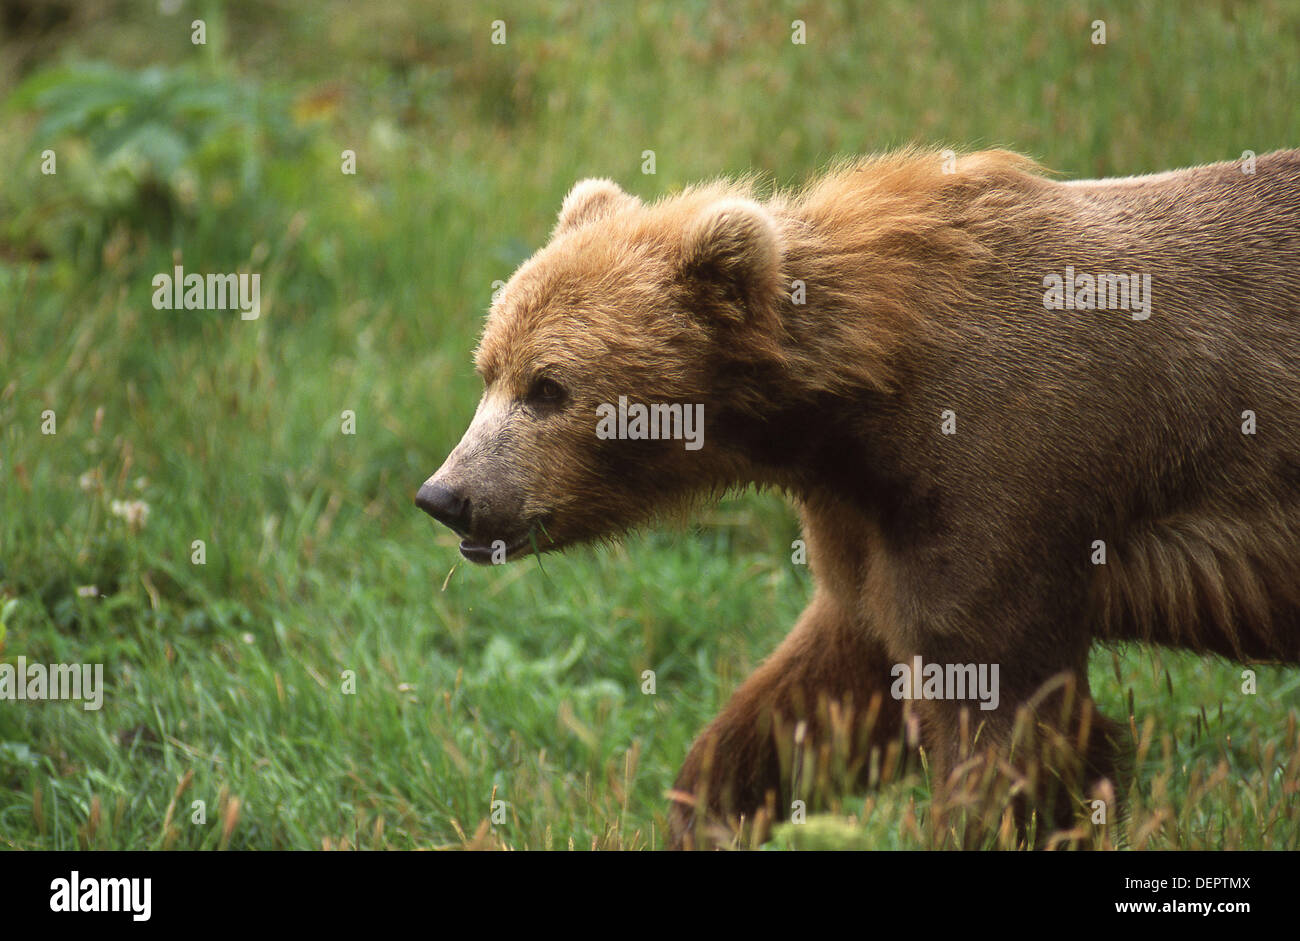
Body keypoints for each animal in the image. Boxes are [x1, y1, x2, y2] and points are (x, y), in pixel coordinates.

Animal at [417, 148, 1300, 849]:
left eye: (548, 387)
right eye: (488, 369)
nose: (447, 494)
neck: (864, 399)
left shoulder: (1007, 476)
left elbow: (1003, 714)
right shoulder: (870, 520)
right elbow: (832, 683)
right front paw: (712, 807)